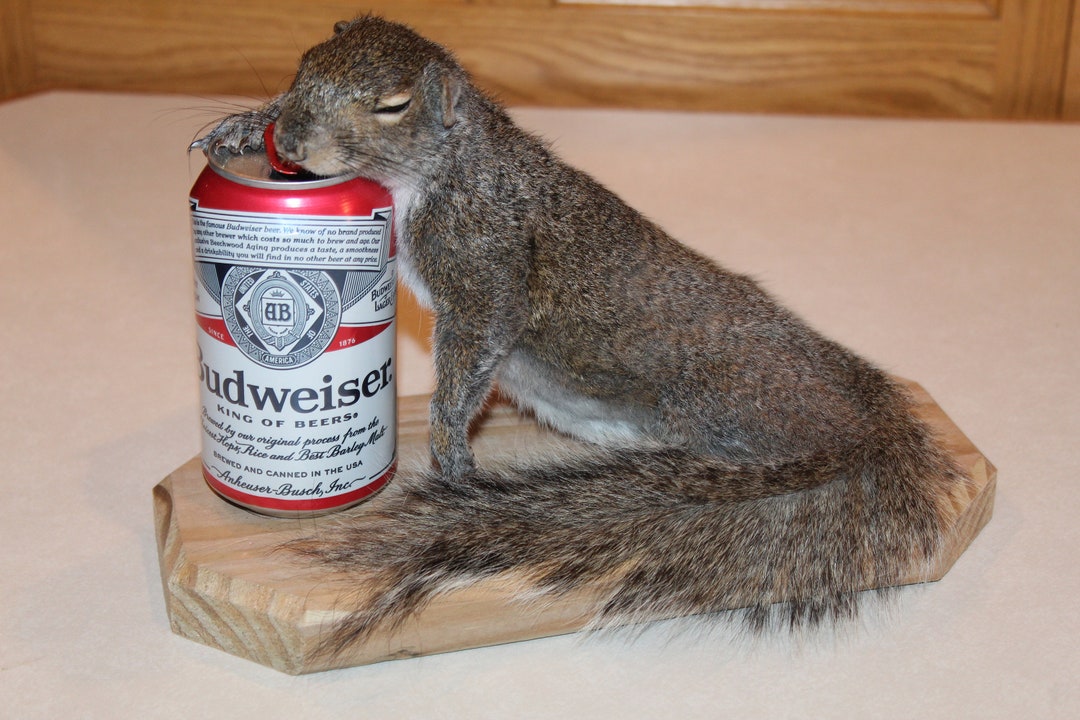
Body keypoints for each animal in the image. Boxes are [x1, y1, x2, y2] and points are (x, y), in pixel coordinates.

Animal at [194, 15, 972, 655]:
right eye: (304, 65)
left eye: (391, 105)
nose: (291, 143)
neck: (440, 165)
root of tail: (859, 430)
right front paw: (247, 125)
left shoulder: (486, 263)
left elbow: (475, 347)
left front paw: (449, 449)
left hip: (719, 400)